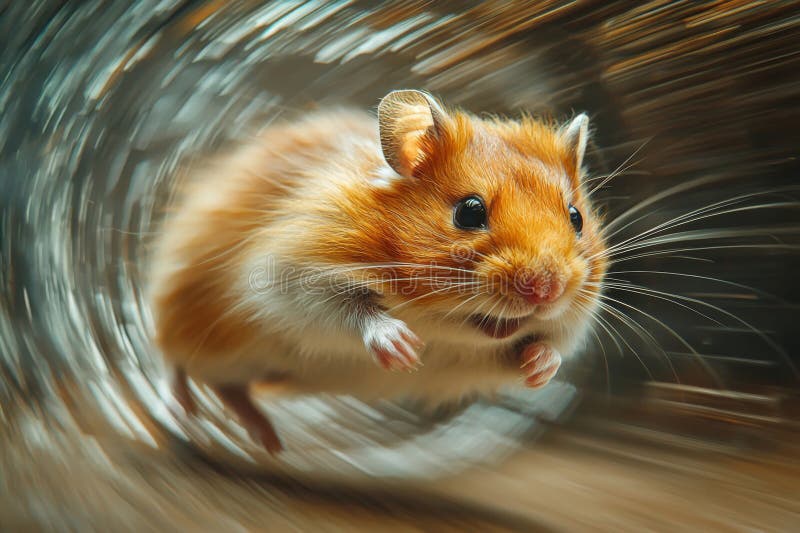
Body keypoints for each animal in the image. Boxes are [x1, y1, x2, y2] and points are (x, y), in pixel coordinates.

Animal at [149, 90, 608, 453]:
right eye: (469, 211)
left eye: (576, 218)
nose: (547, 290)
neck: (440, 323)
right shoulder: (288, 275)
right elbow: (353, 311)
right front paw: (403, 351)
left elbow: (549, 346)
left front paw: (539, 368)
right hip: (184, 304)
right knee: (173, 360)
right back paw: (182, 415)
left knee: (228, 388)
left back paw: (268, 442)